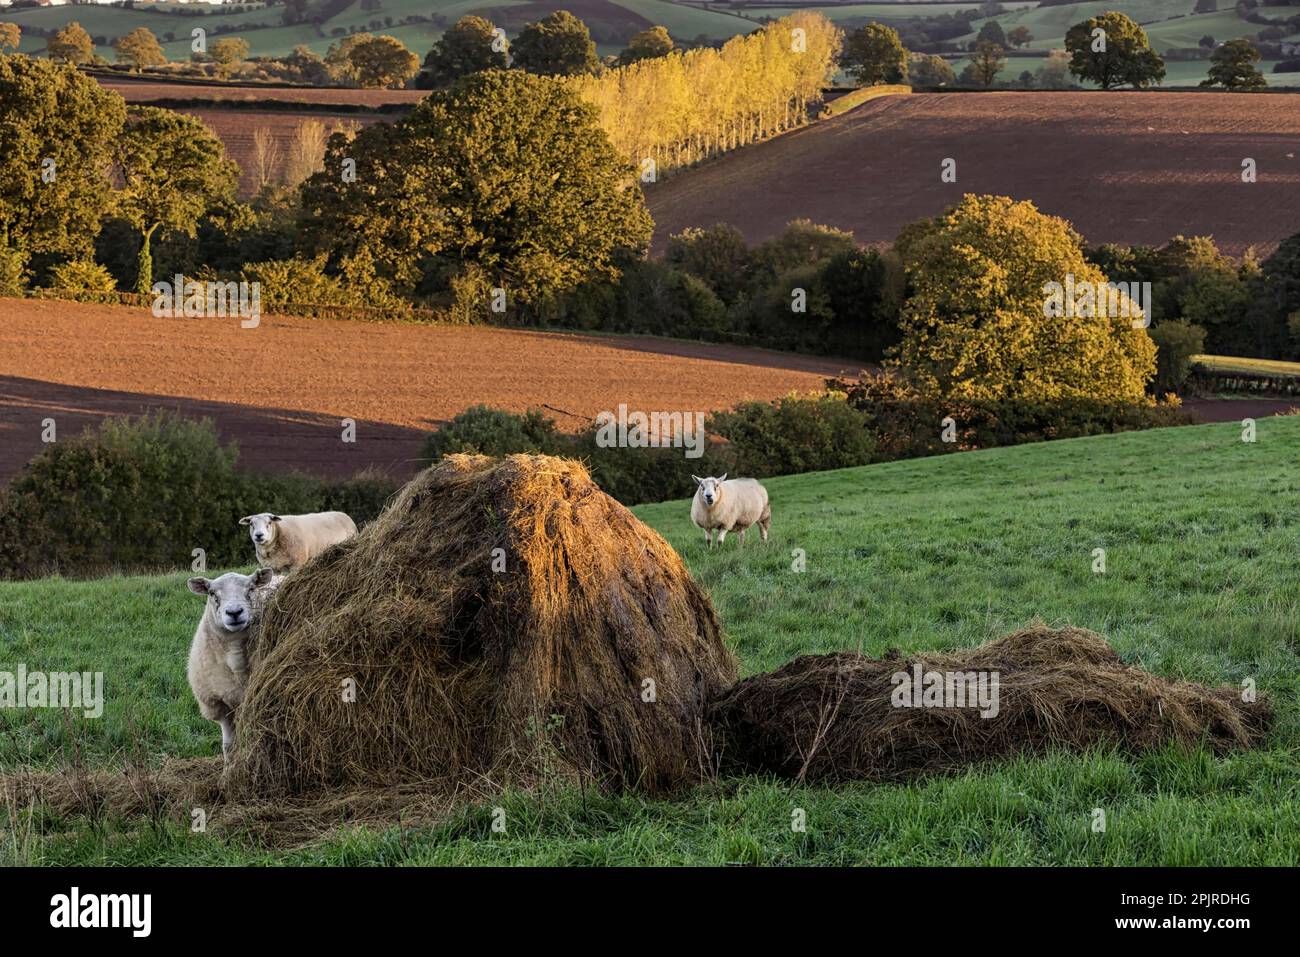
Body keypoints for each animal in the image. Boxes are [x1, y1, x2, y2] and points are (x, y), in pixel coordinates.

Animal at [186, 568, 279, 759]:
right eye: (212, 593)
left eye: (251, 589)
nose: (234, 612)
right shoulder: (218, 704)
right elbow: (228, 746)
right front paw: (228, 767)